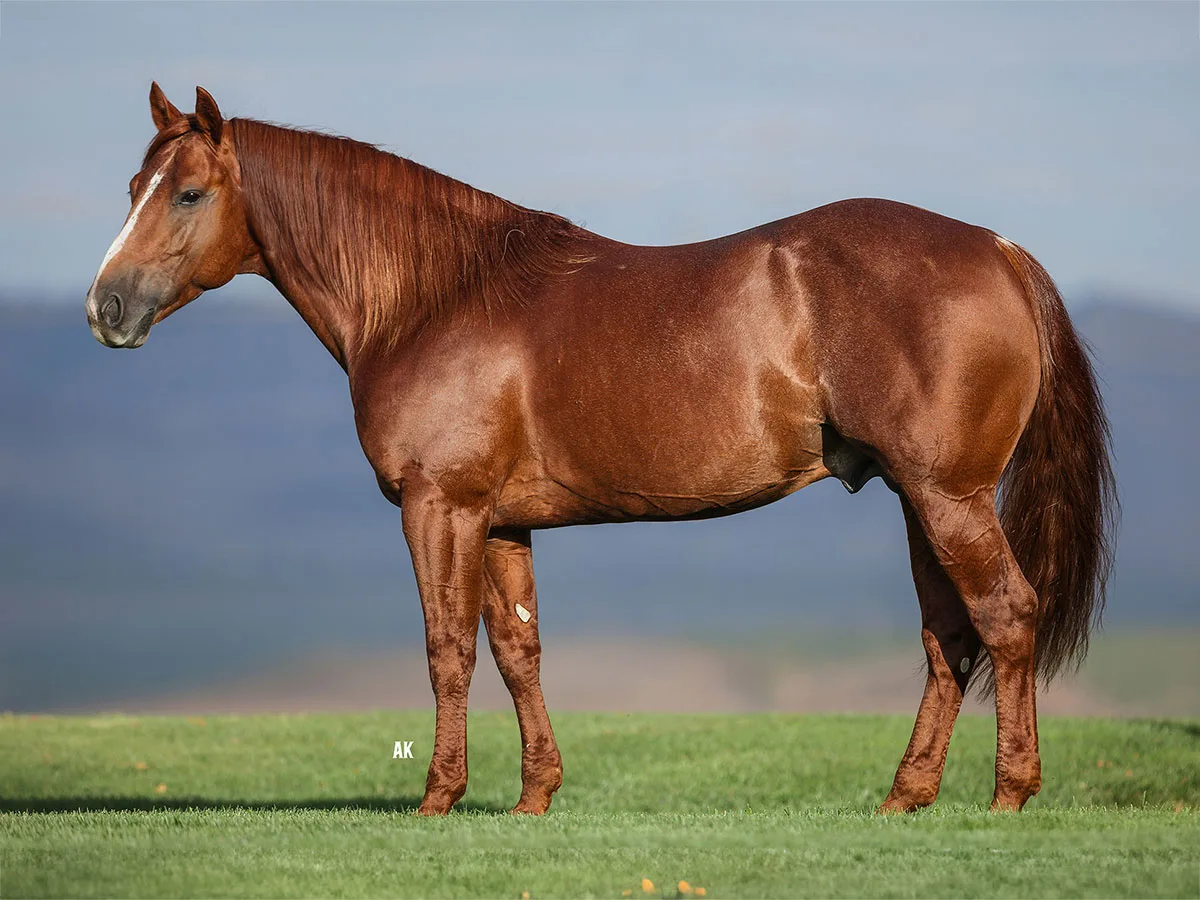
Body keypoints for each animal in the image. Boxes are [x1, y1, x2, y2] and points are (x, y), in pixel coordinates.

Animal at [86, 84, 1115, 816]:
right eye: (134, 189)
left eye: (188, 192)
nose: (106, 308)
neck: (437, 296)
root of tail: (997, 247)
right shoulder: (500, 522)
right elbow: (518, 650)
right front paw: (535, 797)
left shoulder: (440, 506)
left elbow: (447, 649)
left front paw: (438, 799)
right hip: (920, 499)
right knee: (950, 636)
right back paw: (906, 797)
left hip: (949, 496)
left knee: (1006, 616)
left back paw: (1010, 794)